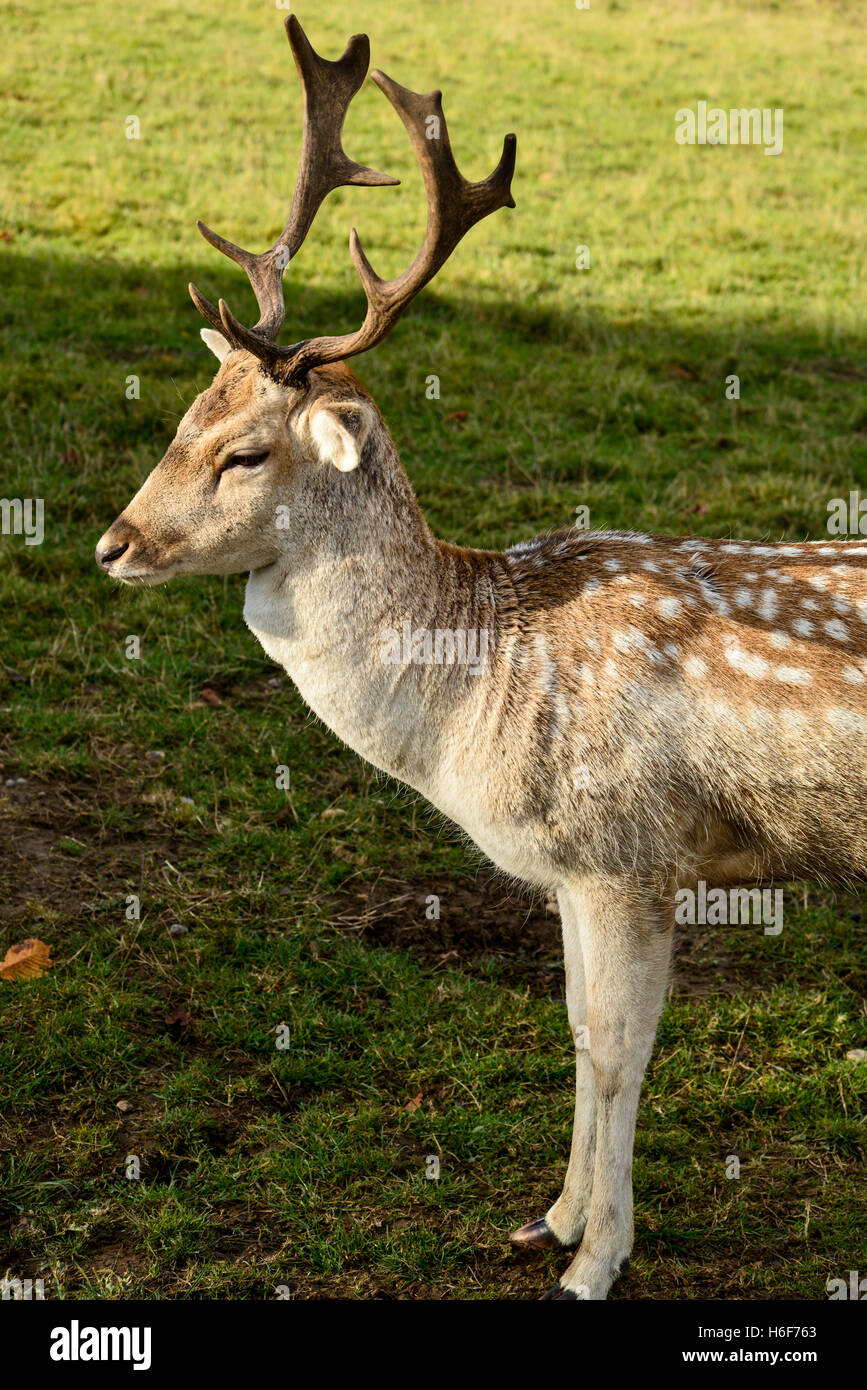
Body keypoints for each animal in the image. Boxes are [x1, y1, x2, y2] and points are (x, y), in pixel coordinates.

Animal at [95, 16, 867, 1300]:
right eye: (181, 416)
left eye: (245, 453)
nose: (112, 543)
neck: (473, 695)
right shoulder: (569, 871)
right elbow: (573, 1029)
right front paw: (548, 1220)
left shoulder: (626, 852)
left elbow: (617, 1052)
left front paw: (593, 1263)